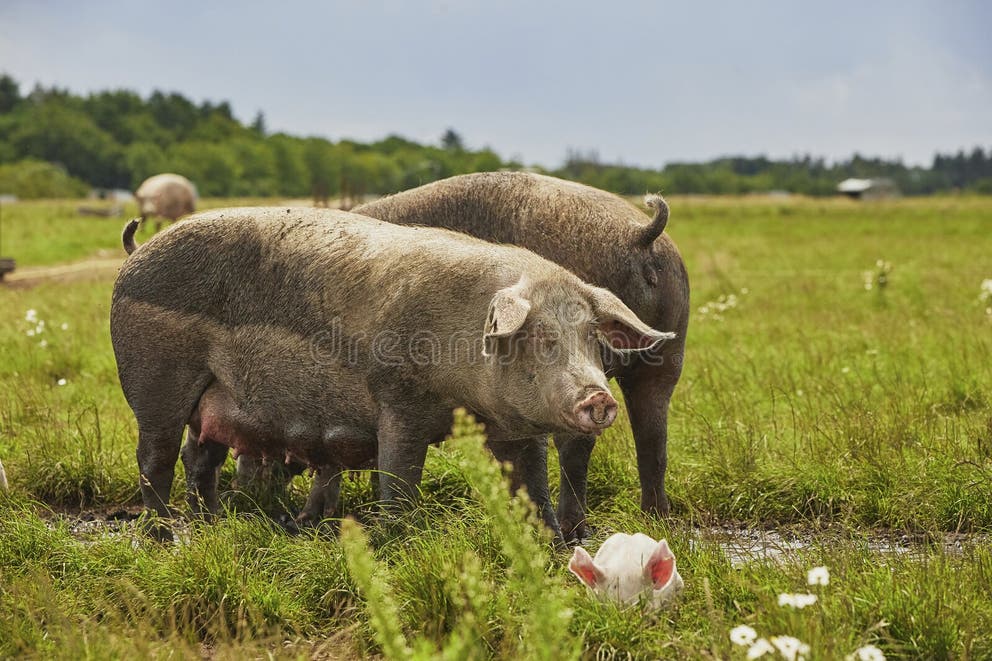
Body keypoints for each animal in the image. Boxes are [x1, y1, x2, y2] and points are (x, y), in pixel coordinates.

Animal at [111, 207, 674, 541]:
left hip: (211, 401)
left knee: (199, 456)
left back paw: (209, 521)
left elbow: (530, 482)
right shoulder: (397, 400)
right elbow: (399, 476)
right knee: (155, 457)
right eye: (541, 338)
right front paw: (398, 538)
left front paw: (550, 541)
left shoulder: (517, 427)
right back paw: (163, 533)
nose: (599, 398)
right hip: (154, 382)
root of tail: (134, 259)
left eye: (592, 339)